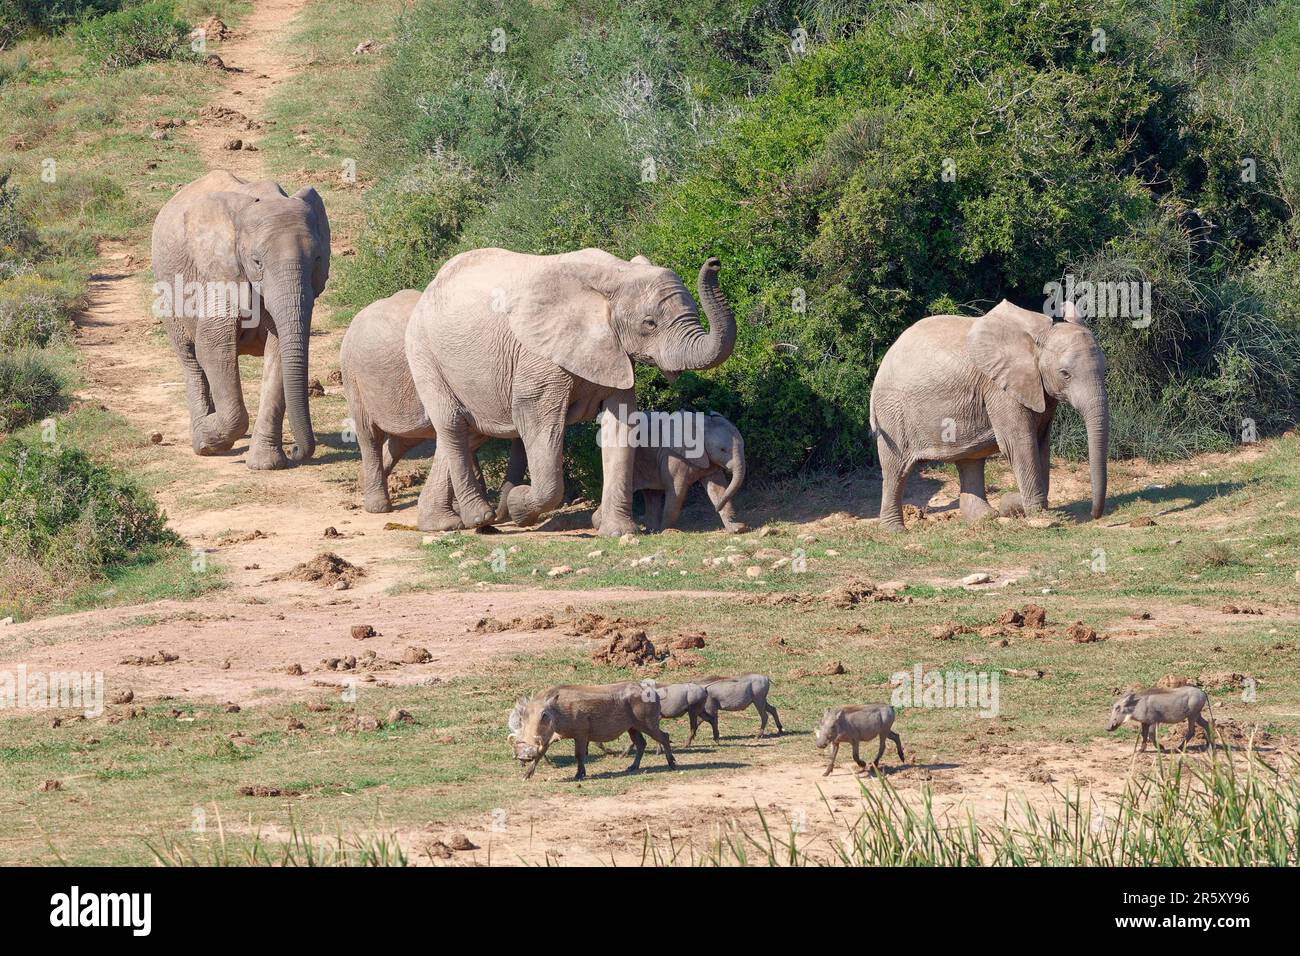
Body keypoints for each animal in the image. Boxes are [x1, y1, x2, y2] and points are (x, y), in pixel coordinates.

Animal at [150, 170, 330, 469]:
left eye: (317, 258)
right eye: (257, 262)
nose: (296, 450)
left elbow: (278, 353)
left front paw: (265, 465)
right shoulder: (217, 272)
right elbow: (213, 347)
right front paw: (208, 439)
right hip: (168, 288)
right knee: (190, 357)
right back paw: (200, 434)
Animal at [593, 411, 747, 532]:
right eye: (722, 450)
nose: (715, 509)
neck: (702, 423)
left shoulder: (708, 459)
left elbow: (718, 488)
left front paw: (737, 529)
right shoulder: (673, 457)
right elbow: (676, 490)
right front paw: (666, 531)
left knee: (652, 494)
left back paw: (651, 530)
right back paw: (600, 524)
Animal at [869, 299, 1108, 530]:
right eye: (1065, 374)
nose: (1094, 515)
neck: (1036, 339)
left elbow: (1041, 442)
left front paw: (1015, 505)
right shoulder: (999, 389)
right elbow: (1020, 443)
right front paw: (1038, 515)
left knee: (969, 460)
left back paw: (985, 517)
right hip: (892, 413)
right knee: (896, 469)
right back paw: (895, 530)